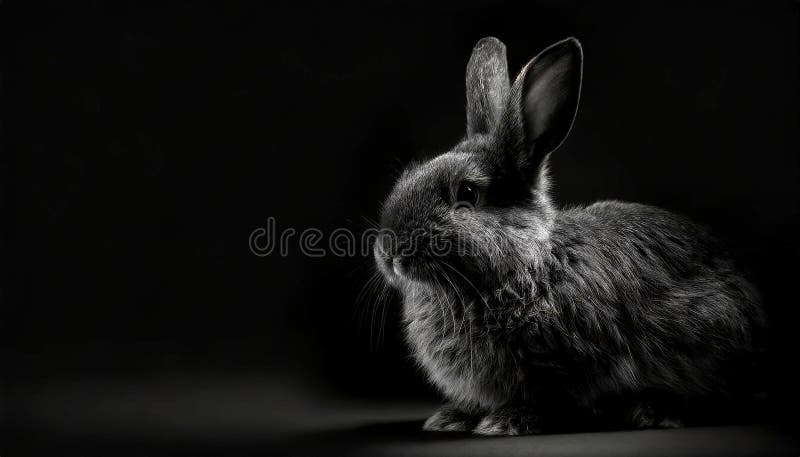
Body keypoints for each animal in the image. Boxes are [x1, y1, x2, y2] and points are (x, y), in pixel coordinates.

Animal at [373, 37, 765, 436]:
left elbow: (550, 401)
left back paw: (651, 412)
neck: (526, 265)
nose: (389, 251)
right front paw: (451, 418)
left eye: (467, 193)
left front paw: (505, 422)